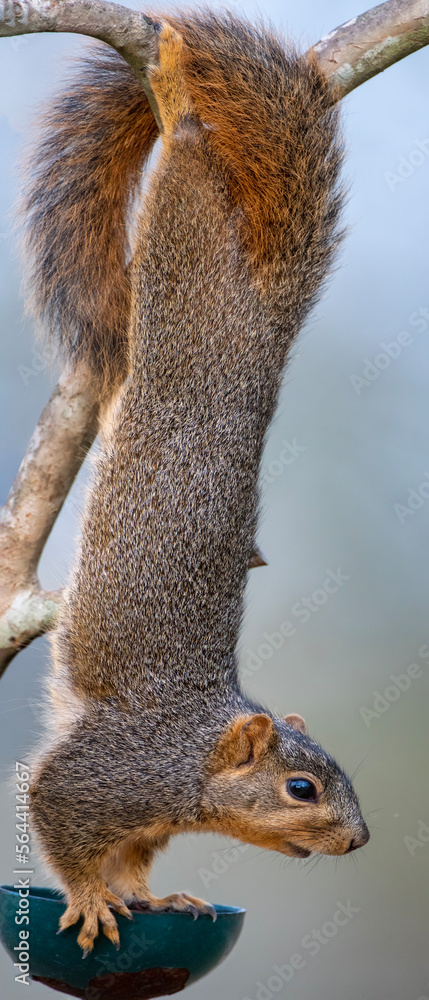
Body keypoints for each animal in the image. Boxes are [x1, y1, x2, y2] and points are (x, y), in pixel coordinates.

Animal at [22, 11, 370, 955]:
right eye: (300, 789)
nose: (358, 839)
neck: (194, 762)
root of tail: (266, 313)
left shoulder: (144, 818)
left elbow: (133, 860)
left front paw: (153, 896)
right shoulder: (105, 775)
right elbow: (55, 817)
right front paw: (93, 900)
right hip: (185, 248)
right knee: (184, 168)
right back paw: (178, 94)